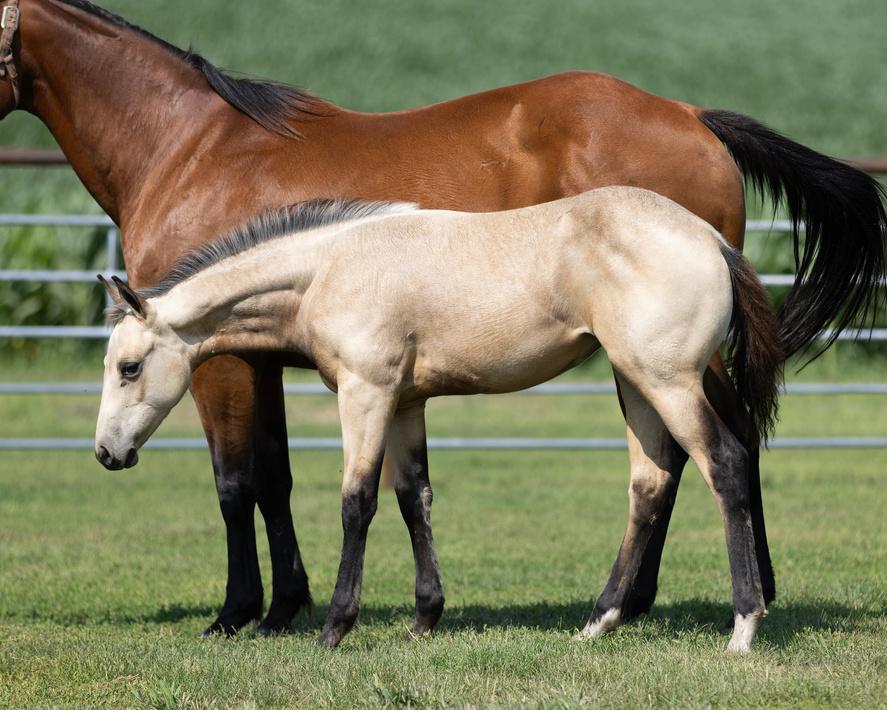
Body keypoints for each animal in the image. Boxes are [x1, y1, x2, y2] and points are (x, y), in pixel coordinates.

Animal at [94, 189, 783, 652]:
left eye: (129, 367)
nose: (106, 453)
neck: (328, 267)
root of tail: (710, 238)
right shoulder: (405, 404)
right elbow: (413, 499)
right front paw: (425, 619)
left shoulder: (366, 394)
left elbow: (357, 502)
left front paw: (334, 628)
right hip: (634, 383)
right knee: (650, 484)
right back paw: (599, 620)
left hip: (667, 382)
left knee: (724, 463)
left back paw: (743, 626)